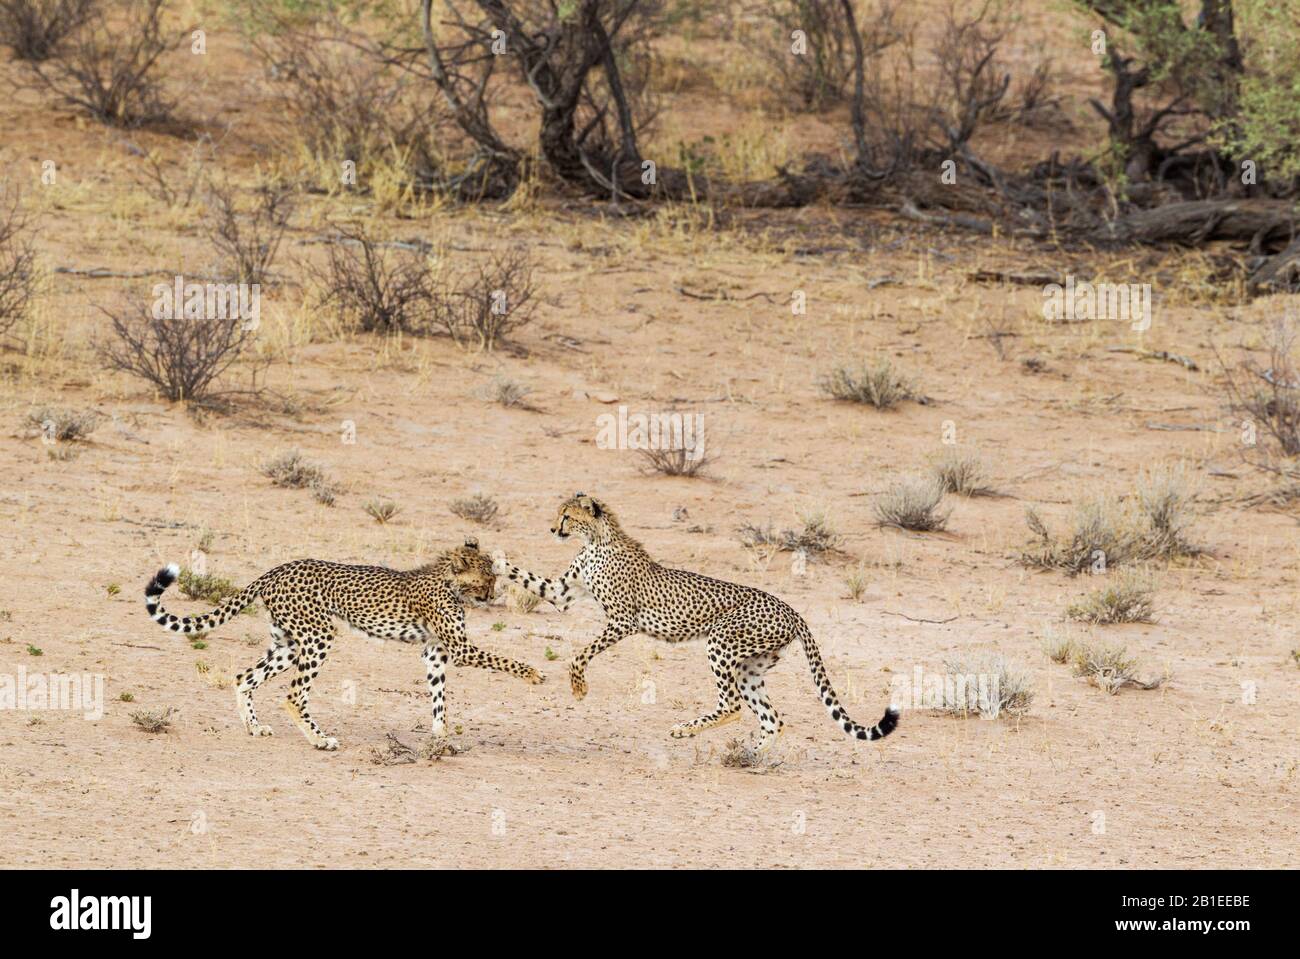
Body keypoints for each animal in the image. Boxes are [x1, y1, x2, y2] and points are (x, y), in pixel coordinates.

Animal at [143, 537, 544, 750]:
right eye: (488, 578)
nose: (493, 595)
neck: (448, 581)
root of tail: (277, 568)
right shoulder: (458, 649)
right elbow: (503, 659)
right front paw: (533, 674)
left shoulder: (435, 652)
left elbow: (439, 700)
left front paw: (442, 738)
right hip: (318, 636)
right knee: (294, 695)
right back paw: (320, 740)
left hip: (288, 643)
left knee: (244, 677)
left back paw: (255, 727)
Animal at [493, 493, 899, 752]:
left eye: (567, 516)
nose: (553, 530)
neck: (596, 540)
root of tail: (789, 607)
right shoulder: (563, 592)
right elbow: (527, 578)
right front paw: (493, 560)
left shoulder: (623, 620)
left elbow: (581, 653)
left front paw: (578, 686)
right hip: (751, 667)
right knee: (771, 718)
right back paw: (748, 756)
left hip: (721, 643)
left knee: (732, 705)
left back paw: (685, 730)